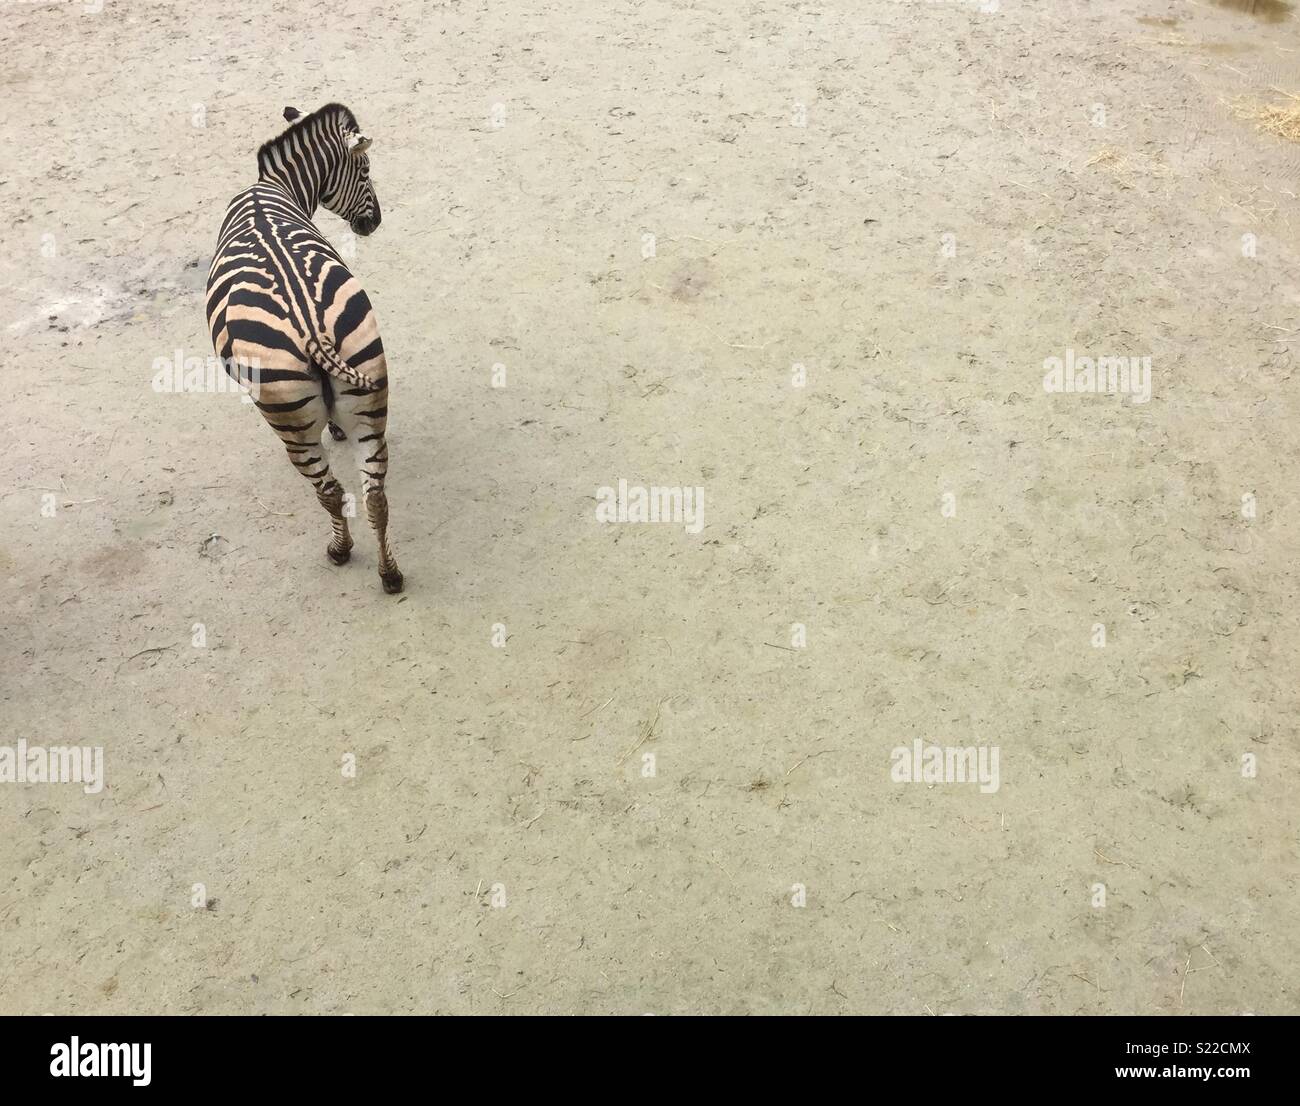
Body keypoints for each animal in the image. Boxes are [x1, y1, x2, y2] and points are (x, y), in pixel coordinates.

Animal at [205, 103, 402, 593]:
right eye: (366, 171)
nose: (374, 223)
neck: (273, 187)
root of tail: (312, 330)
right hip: (366, 374)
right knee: (375, 495)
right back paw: (390, 575)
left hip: (287, 417)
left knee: (329, 492)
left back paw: (340, 550)